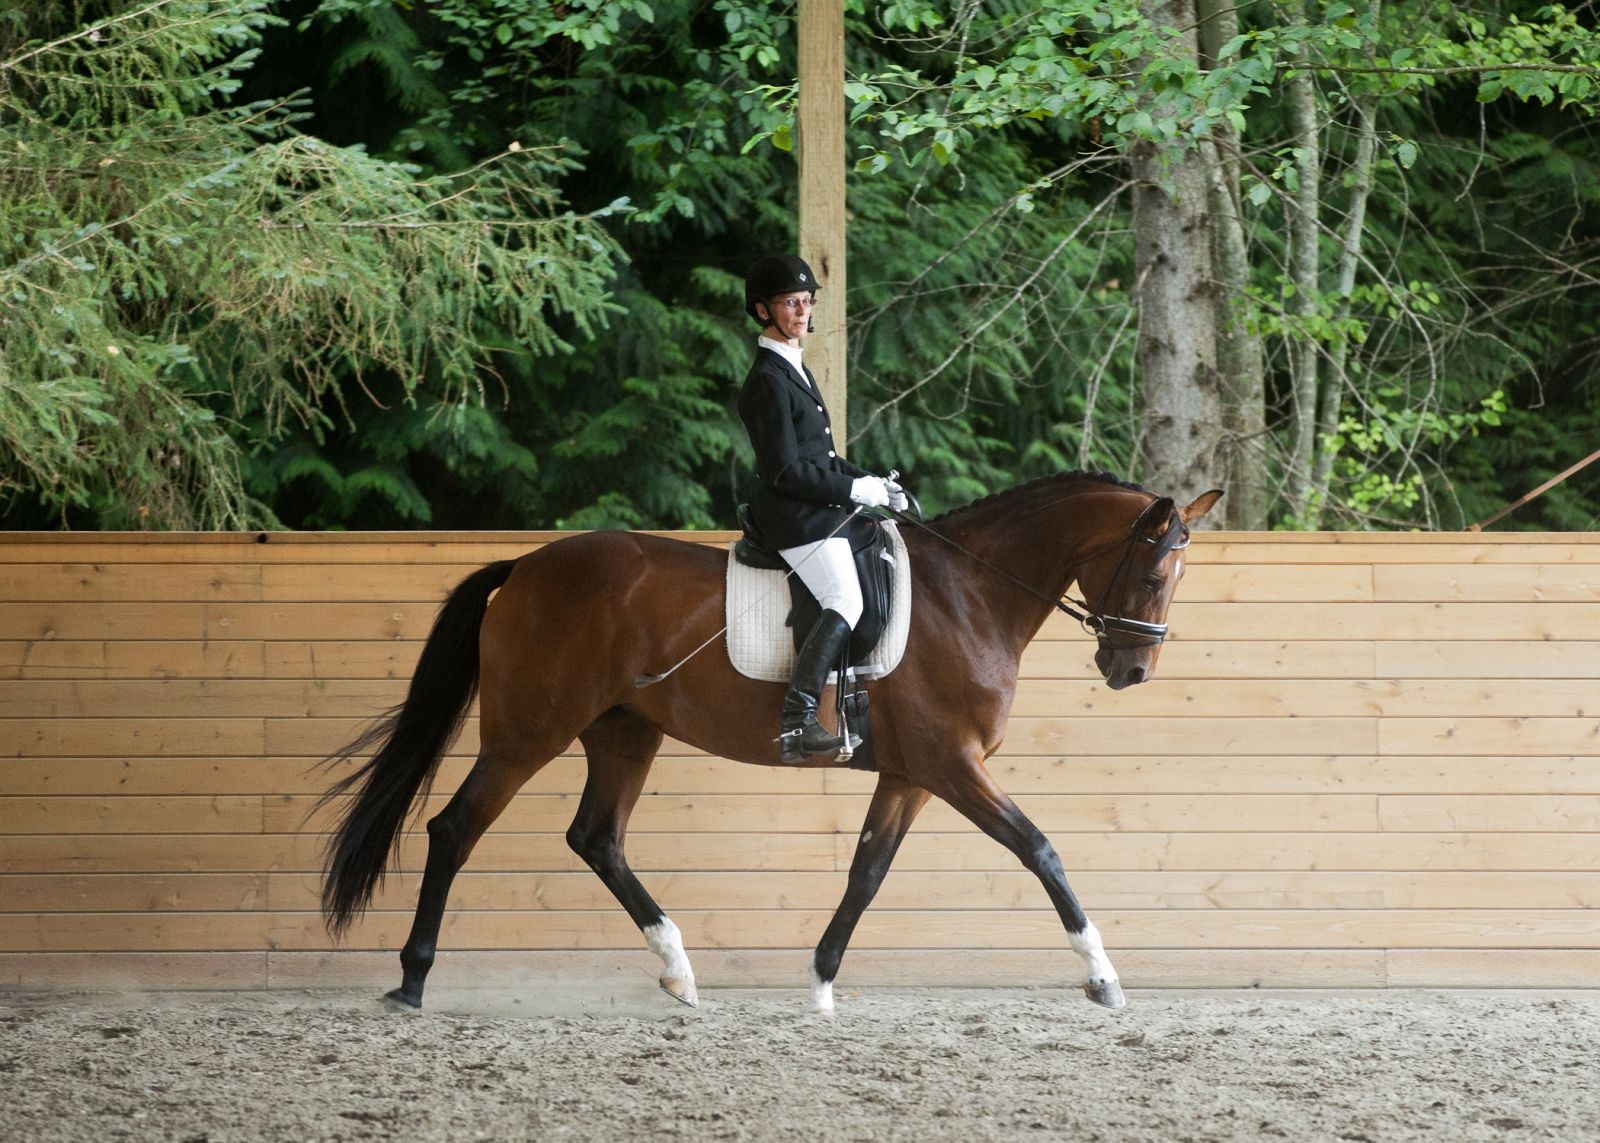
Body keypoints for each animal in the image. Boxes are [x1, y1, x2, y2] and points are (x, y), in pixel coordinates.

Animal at [317, 471, 1222, 1012]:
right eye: (1152, 573)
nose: (1131, 669)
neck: (969, 593)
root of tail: (526, 565)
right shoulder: (952, 765)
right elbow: (1040, 849)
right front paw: (1102, 976)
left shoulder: (912, 774)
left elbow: (866, 872)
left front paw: (820, 983)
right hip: (527, 732)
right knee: (455, 829)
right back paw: (412, 980)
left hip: (623, 733)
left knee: (596, 838)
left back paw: (679, 971)